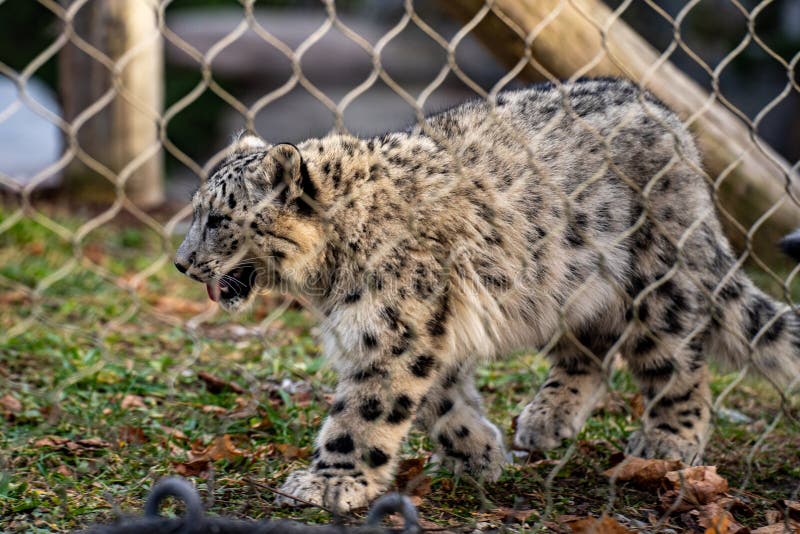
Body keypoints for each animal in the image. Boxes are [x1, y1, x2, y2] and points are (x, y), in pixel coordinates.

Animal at [174, 77, 800, 512]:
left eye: (217, 218)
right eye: (197, 209)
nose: (181, 262)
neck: (326, 281)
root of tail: (670, 120)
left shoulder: (394, 331)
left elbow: (365, 408)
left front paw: (330, 482)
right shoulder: (424, 329)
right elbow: (441, 397)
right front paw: (478, 453)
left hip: (658, 279)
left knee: (678, 360)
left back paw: (668, 440)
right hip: (570, 289)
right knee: (591, 352)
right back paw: (546, 420)